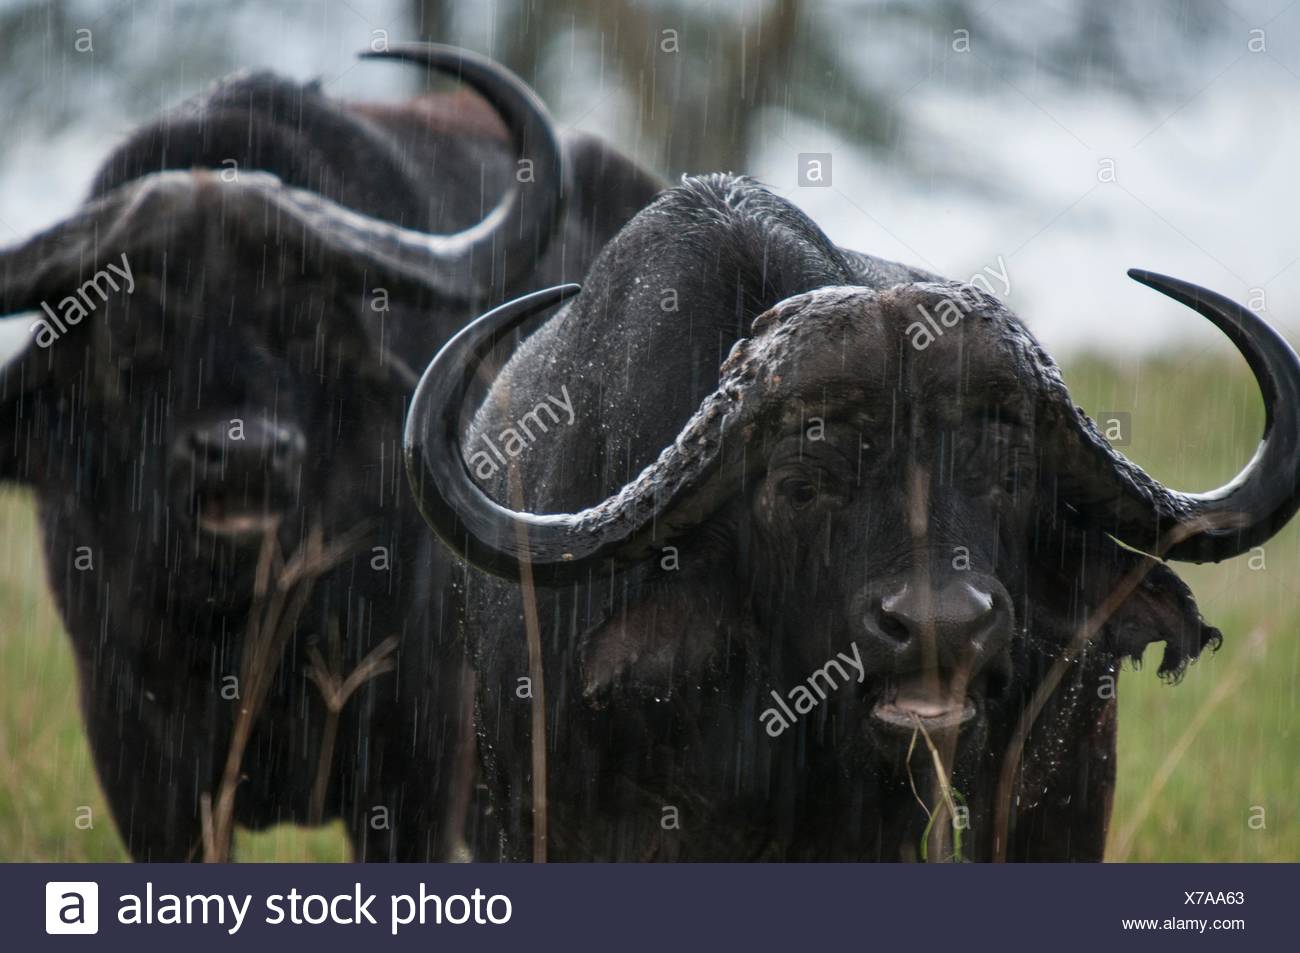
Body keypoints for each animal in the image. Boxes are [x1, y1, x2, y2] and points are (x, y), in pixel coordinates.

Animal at [0, 46, 661, 861]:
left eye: (304, 315)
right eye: (131, 321)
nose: (245, 456)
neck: (235, 626)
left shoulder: (418, 767)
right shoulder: (137, 761)